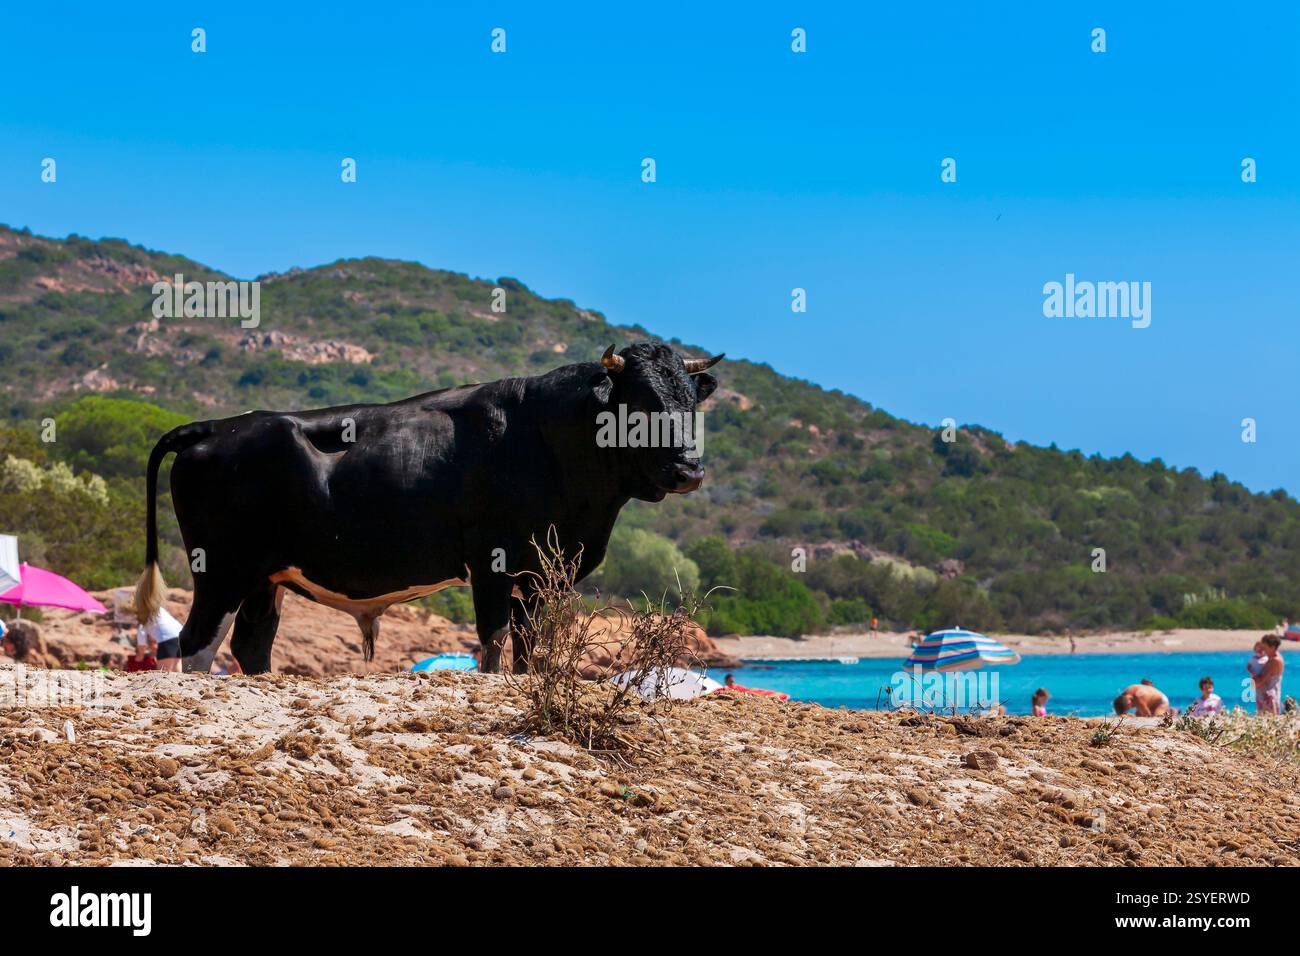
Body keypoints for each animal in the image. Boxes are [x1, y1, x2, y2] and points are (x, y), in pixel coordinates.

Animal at [132, 343, 723, 675]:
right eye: (640, 402)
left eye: (690, 402)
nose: (689, 471)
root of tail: (220, 426)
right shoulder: (492, 561)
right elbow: (493, 639)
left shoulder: (542, 572)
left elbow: (530, 646)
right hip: (221, 569)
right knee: (197, 643)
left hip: (264, 576)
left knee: (252, 644)